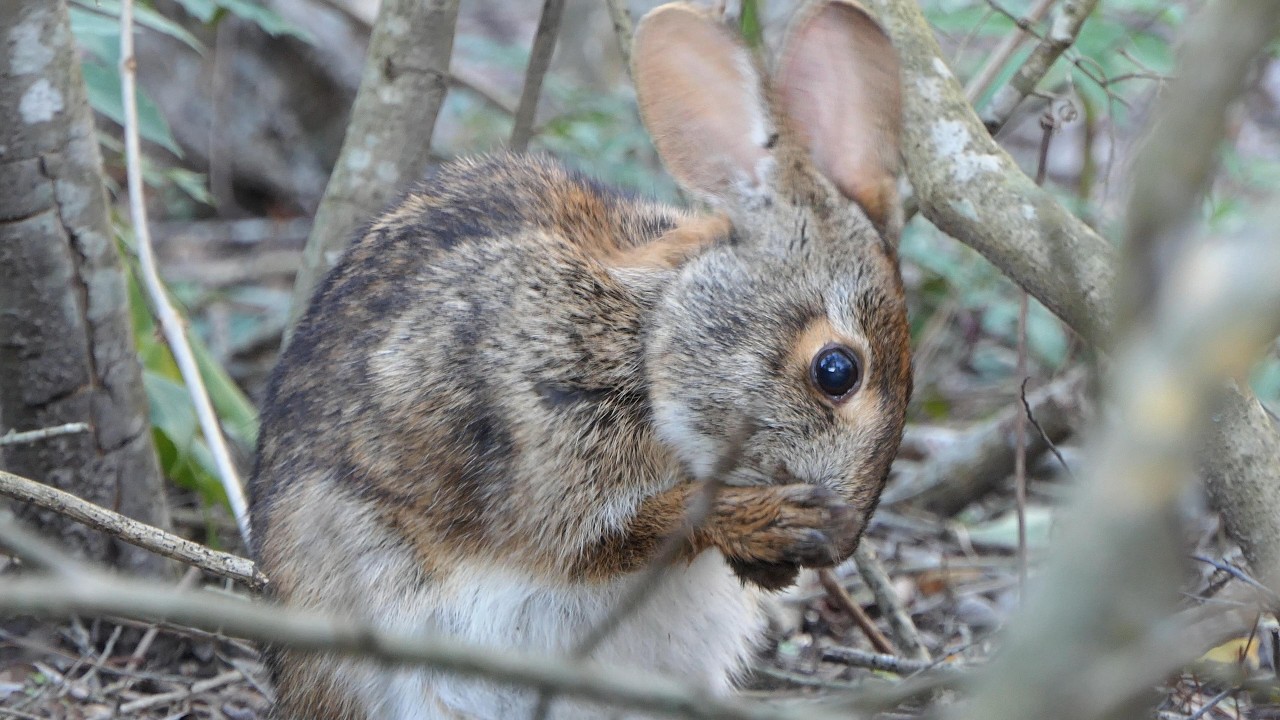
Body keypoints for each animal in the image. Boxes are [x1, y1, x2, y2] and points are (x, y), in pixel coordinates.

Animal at [249, 1, 911, 718]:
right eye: (836, 372)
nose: (842, 540)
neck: (650, 343)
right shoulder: (544, 459)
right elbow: (620, 537)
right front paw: (766, 522)